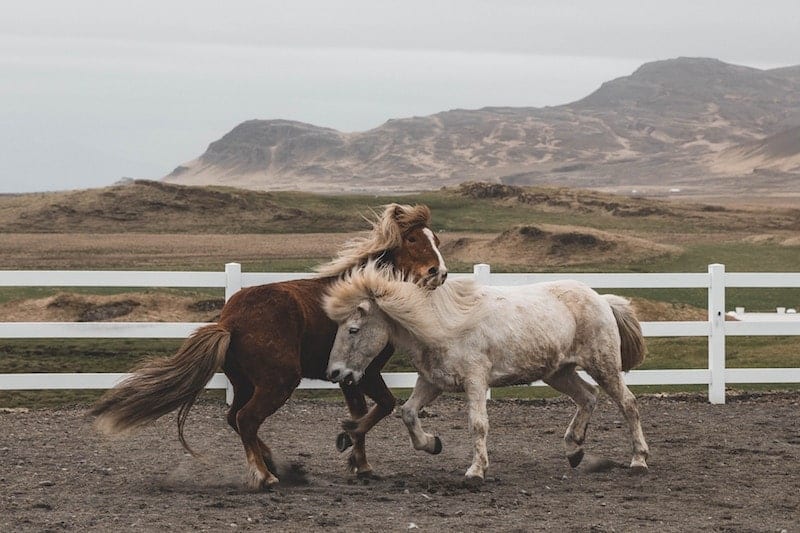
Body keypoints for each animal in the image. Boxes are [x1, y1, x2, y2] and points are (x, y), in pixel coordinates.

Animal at [90, 204, 448, 490]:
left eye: (436, 240)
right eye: (412, 239)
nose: (439, 273)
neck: (369, 294)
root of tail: (228, 322)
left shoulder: (349, 376)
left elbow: (361, 411)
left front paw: (359, 461)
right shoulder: (366, 371)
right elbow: (384, 405)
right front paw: (350, 439)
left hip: (247, 383)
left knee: (234, 417)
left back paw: (275, 463)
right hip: (279, 381)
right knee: (246, 419)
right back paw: (266, 475)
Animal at [323, 262, 650, 482]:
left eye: (353, 329)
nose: (335, 373)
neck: (443, 325)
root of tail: (602, 300)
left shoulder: (475, 381)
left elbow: (478, 424)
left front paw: (476, 470)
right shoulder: (432, 381)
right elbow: (408, 413)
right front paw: (432, 444)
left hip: (603, 366)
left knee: (628, 404)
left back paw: (639, 460)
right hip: (559, 372)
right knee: (588, 397)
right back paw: (574, 450)